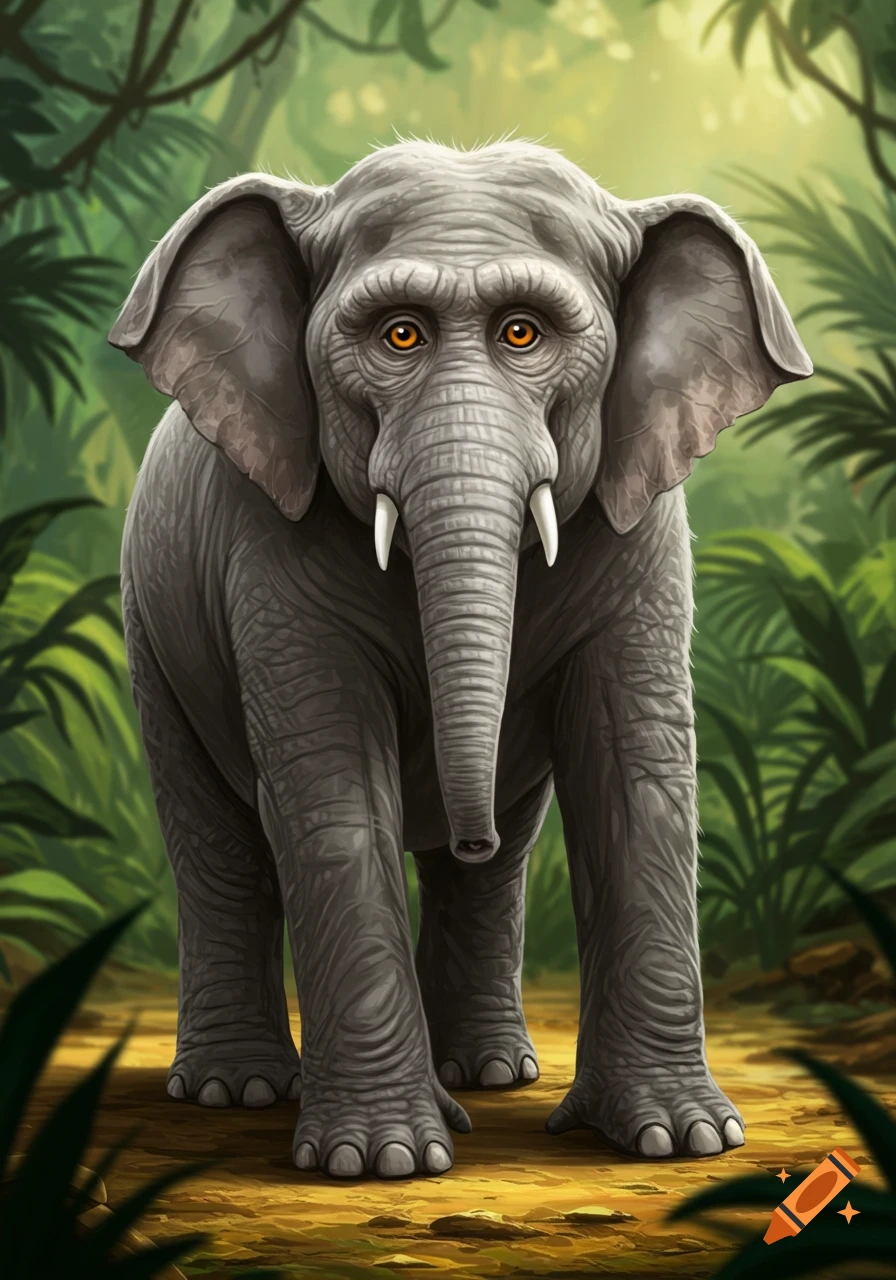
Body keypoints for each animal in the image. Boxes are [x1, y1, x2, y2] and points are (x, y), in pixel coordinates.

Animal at [110, 139, 811, 1182]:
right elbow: (329, 786)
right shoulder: (262, 543)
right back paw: (240, 1091)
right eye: (398, 336)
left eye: (524, 334)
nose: (460, 823)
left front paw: (678, 1141)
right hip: (152, 626)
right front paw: (382, 1161)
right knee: (215, 836)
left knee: (500, 859)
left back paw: (490, 1073)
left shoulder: (640, 529)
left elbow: (634, 776)